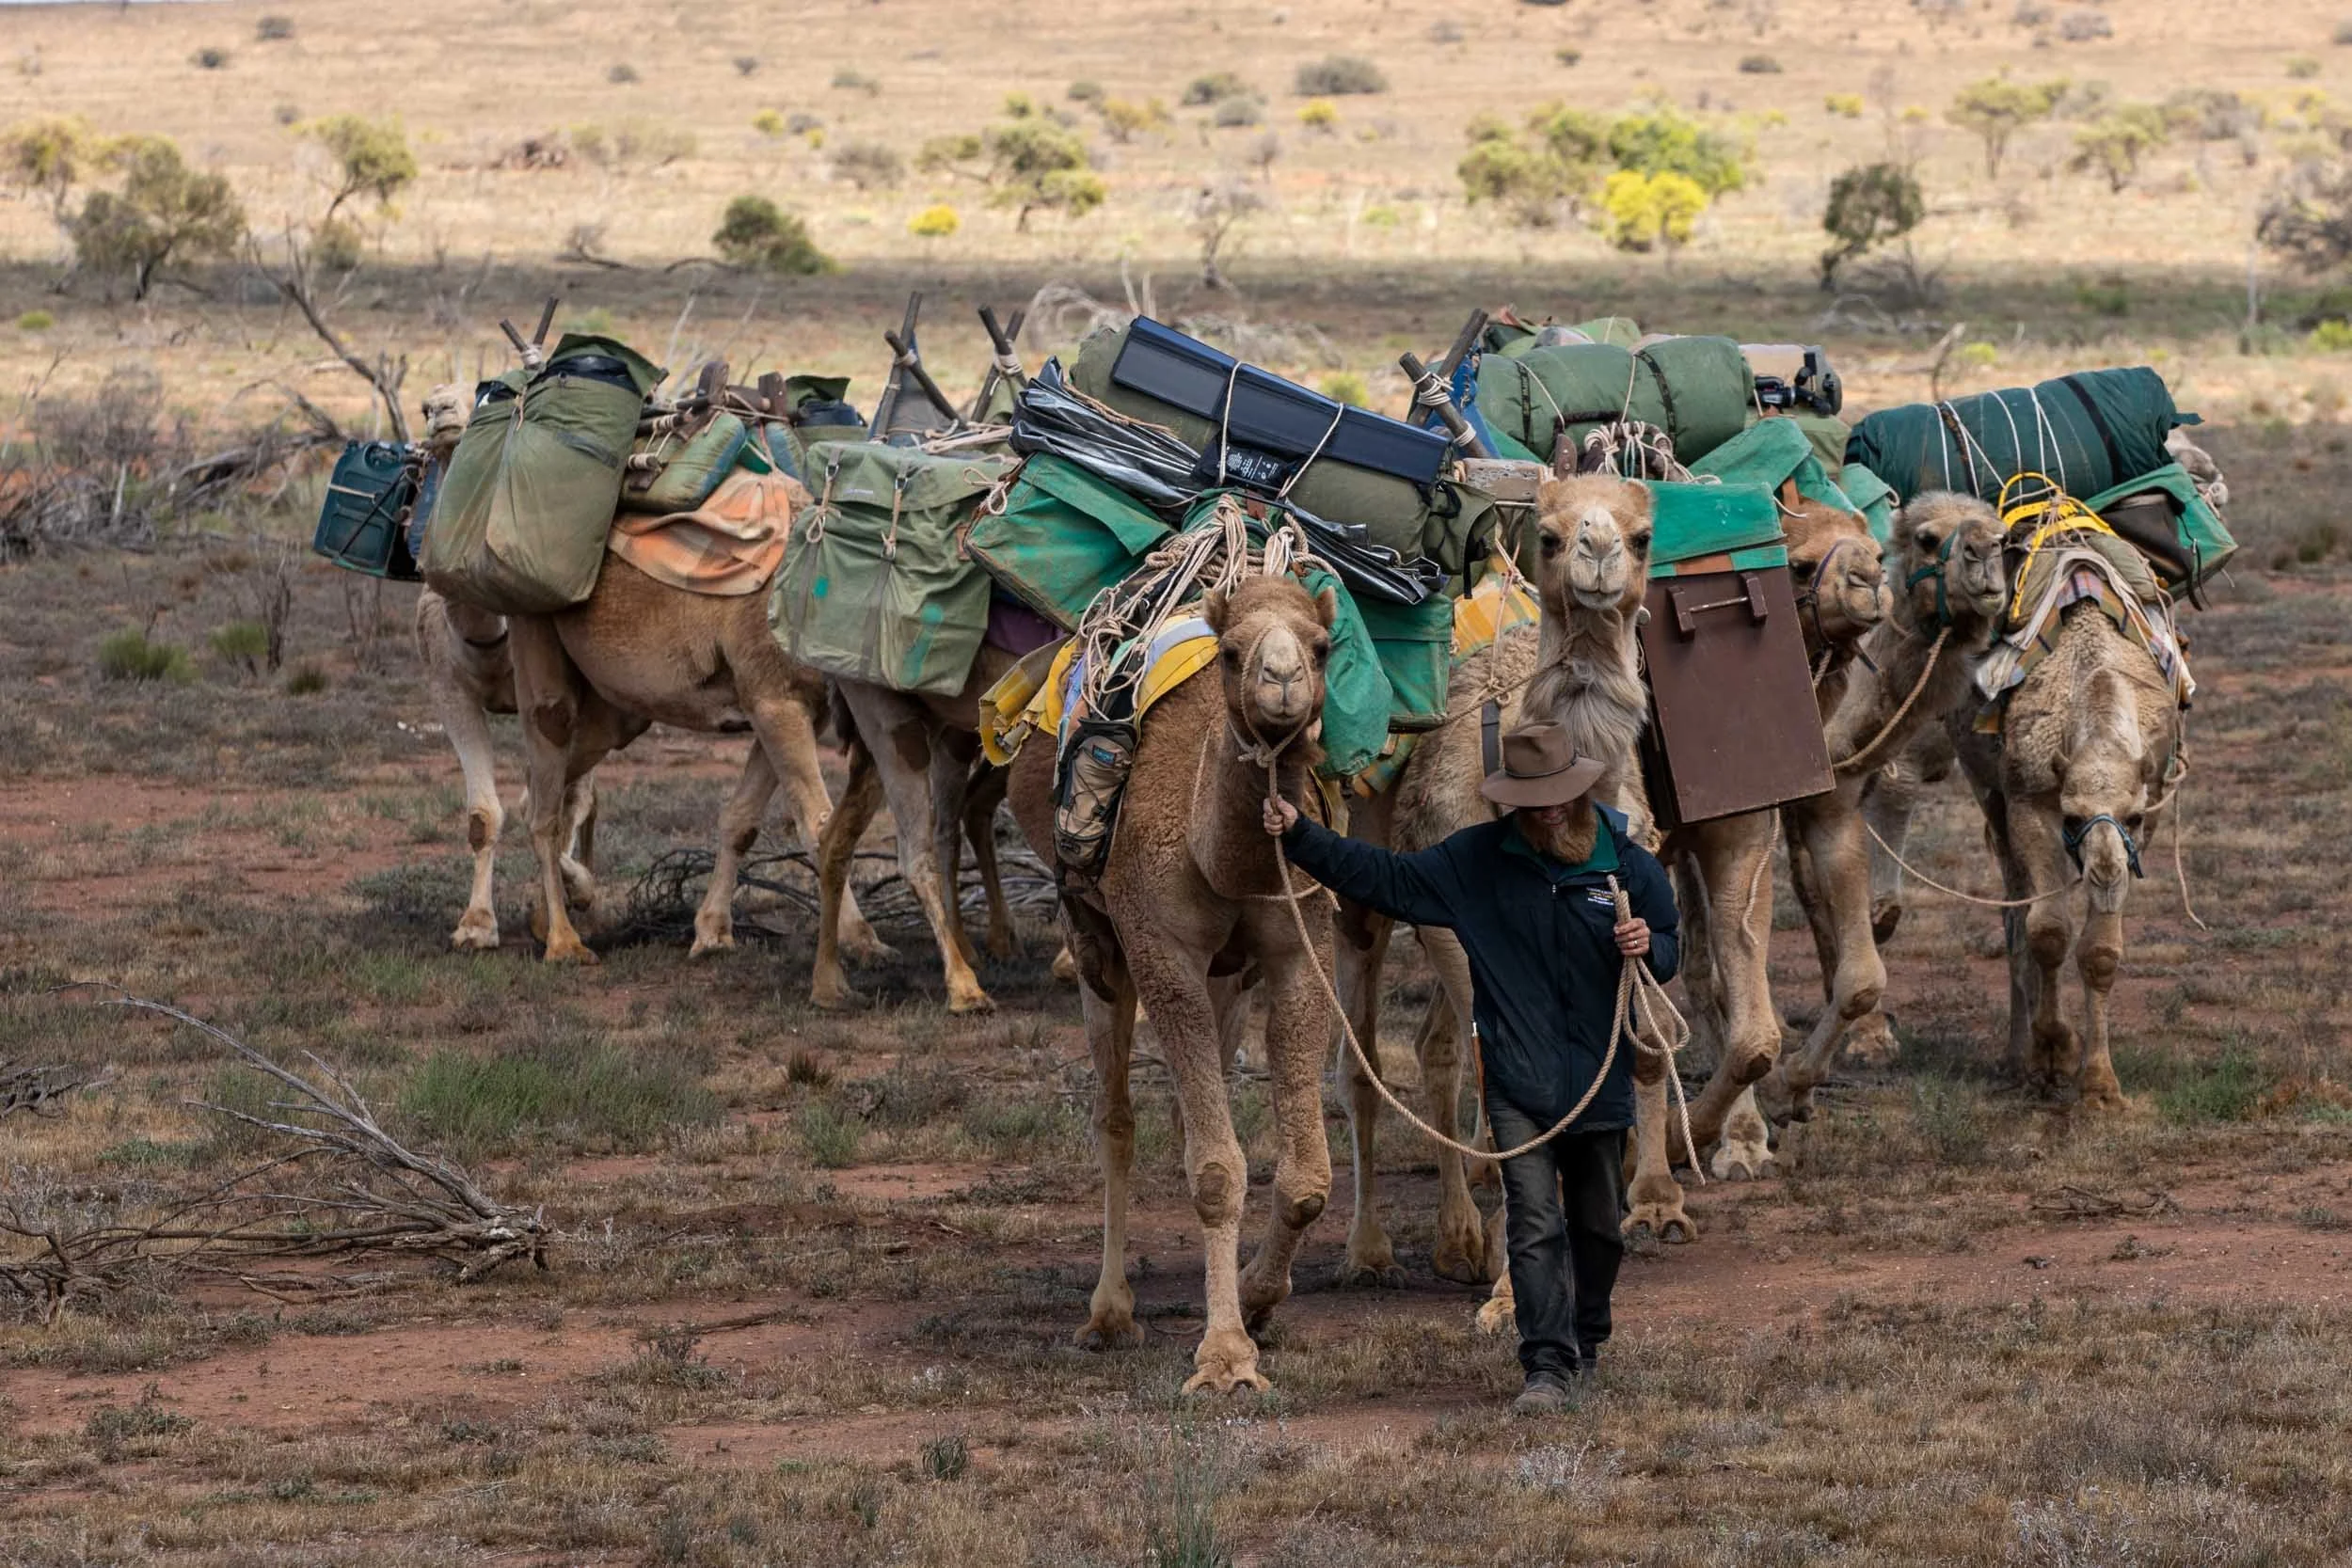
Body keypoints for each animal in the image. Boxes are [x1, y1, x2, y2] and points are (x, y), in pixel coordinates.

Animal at [1007, 575, 1340, 1394]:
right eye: (1232, 652)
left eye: (1323, 646)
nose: (1281, 680)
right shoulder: (1160, 948)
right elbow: (1215, 1169)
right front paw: (1224, 1356)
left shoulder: (1300, 945)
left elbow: (1306, 1178)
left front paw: (1254, 1299)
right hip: (1098, 949)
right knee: (1115, 1117)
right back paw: (1108, 1315)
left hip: (1229, 979)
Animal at [1959, 604, 2179, 1106]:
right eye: (2072, 817)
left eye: (2133, 817)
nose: (2104, 873)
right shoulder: (2030, 803)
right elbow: (2047, 932)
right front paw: (2054, 1054)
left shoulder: (2149, 809)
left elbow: (2099, 951)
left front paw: (2099, 1085)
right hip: (1990, 796)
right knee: (2015, 914)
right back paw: (2017, 1059)